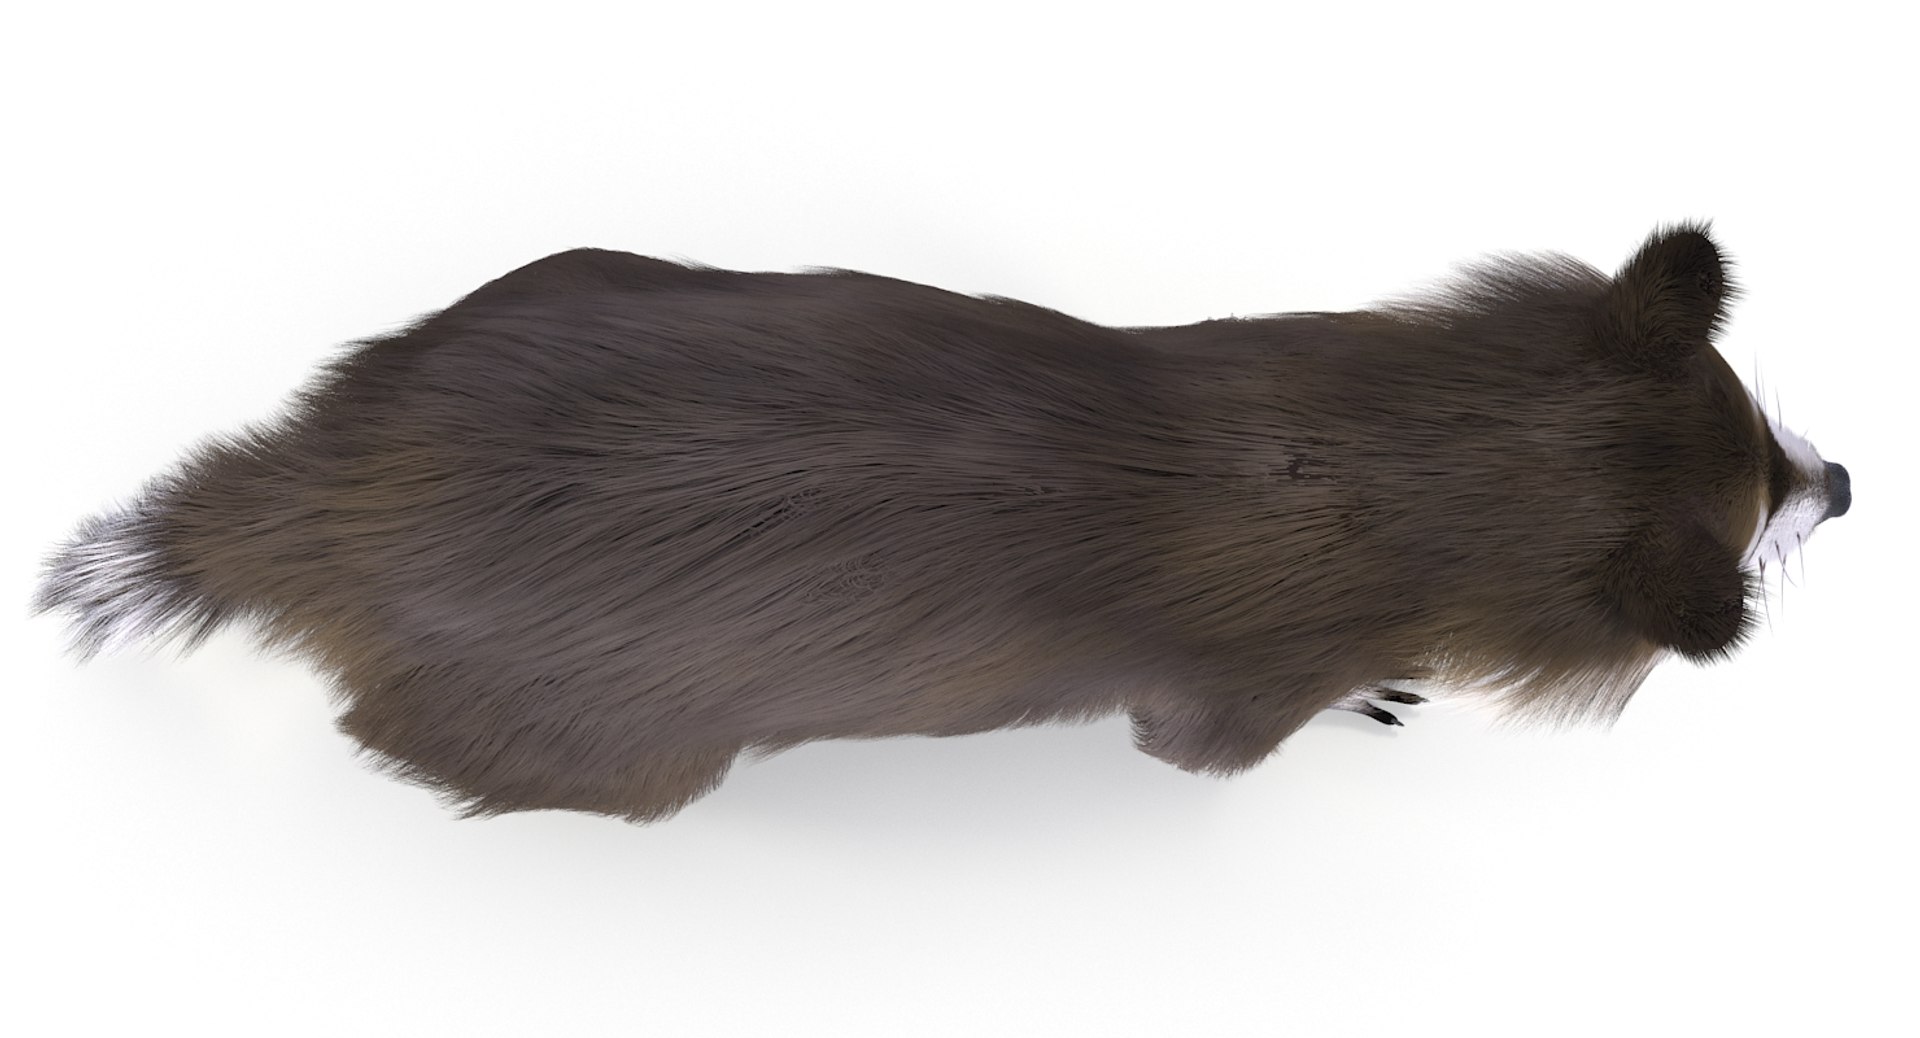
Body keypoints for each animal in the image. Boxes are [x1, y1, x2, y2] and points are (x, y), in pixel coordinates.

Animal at [34, 225, 1848, 821]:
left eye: (1753, 423)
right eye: (1755, 500)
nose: (1843, 482)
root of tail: (312, 504)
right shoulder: (1233, 683)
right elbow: (1213, 737)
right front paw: (1380, 699)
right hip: (599, 736)